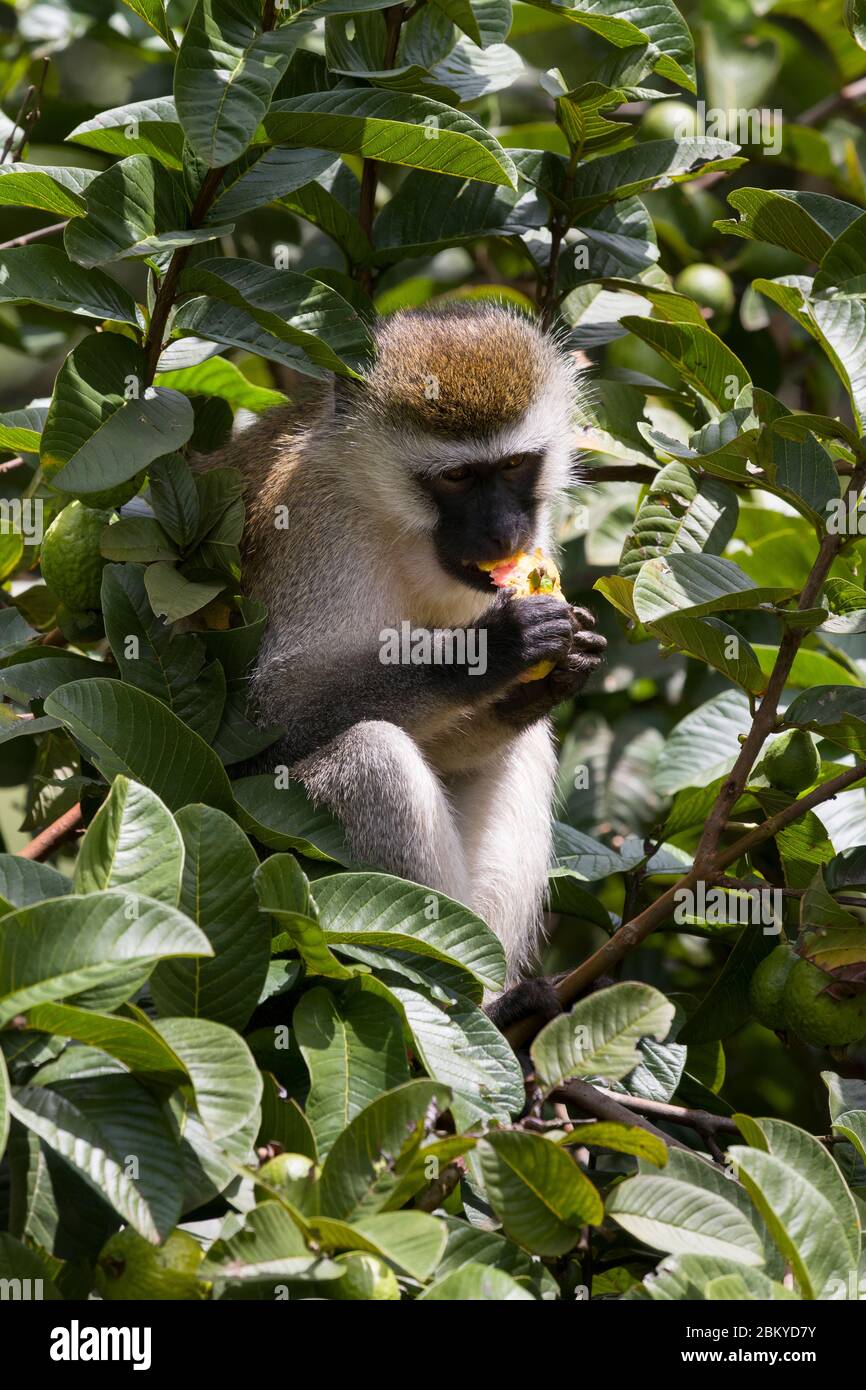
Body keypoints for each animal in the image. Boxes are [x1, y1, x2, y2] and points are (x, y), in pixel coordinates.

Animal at [220, 303, 606, 1025]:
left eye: (515, 466)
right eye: (457, 477)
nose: (502, 533)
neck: (398, 529)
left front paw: (560, 671)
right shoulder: (313, 519)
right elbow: (277, 708)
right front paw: (492, 650)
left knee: (516, 749)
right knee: (374, 758)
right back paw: (469, 1004)